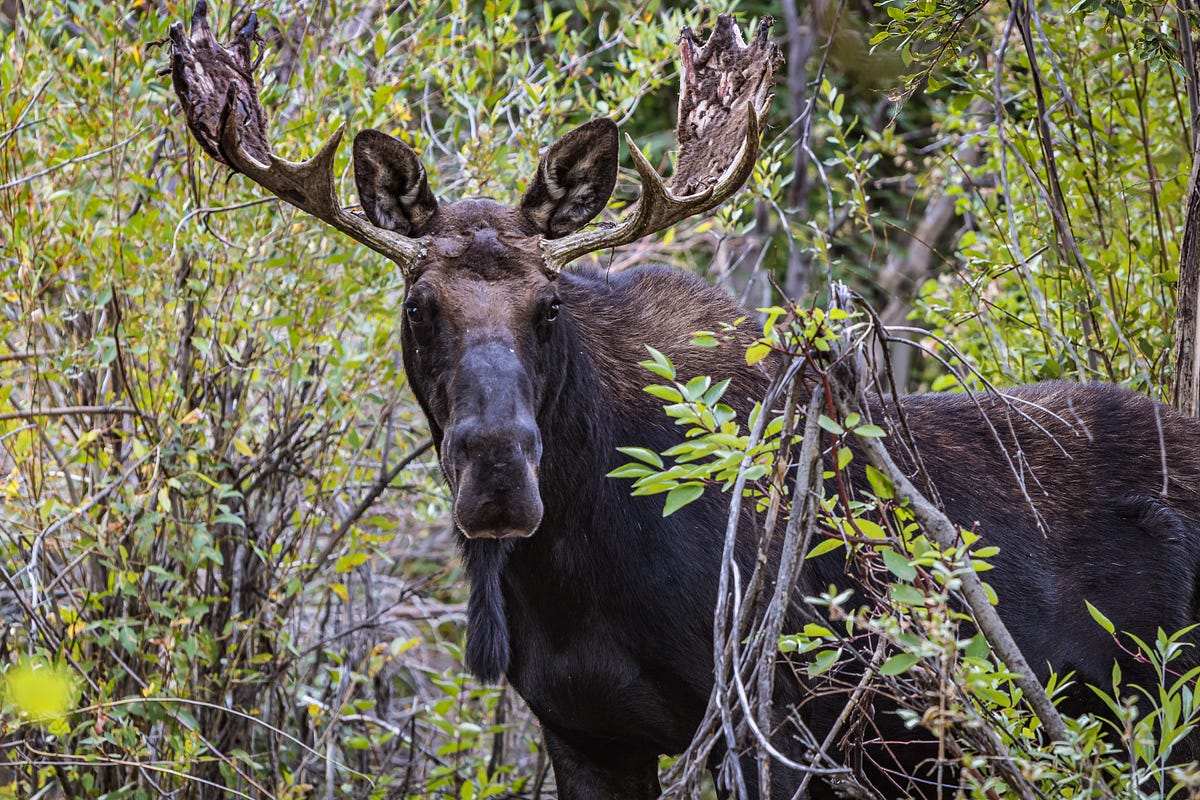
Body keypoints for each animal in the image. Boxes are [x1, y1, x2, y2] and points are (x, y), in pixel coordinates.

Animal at [166, 3, 1200, 798]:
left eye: (548, 307)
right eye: (420, 306)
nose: (498, 472)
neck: (575, 572)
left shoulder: (776, 721)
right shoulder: (584, 733)